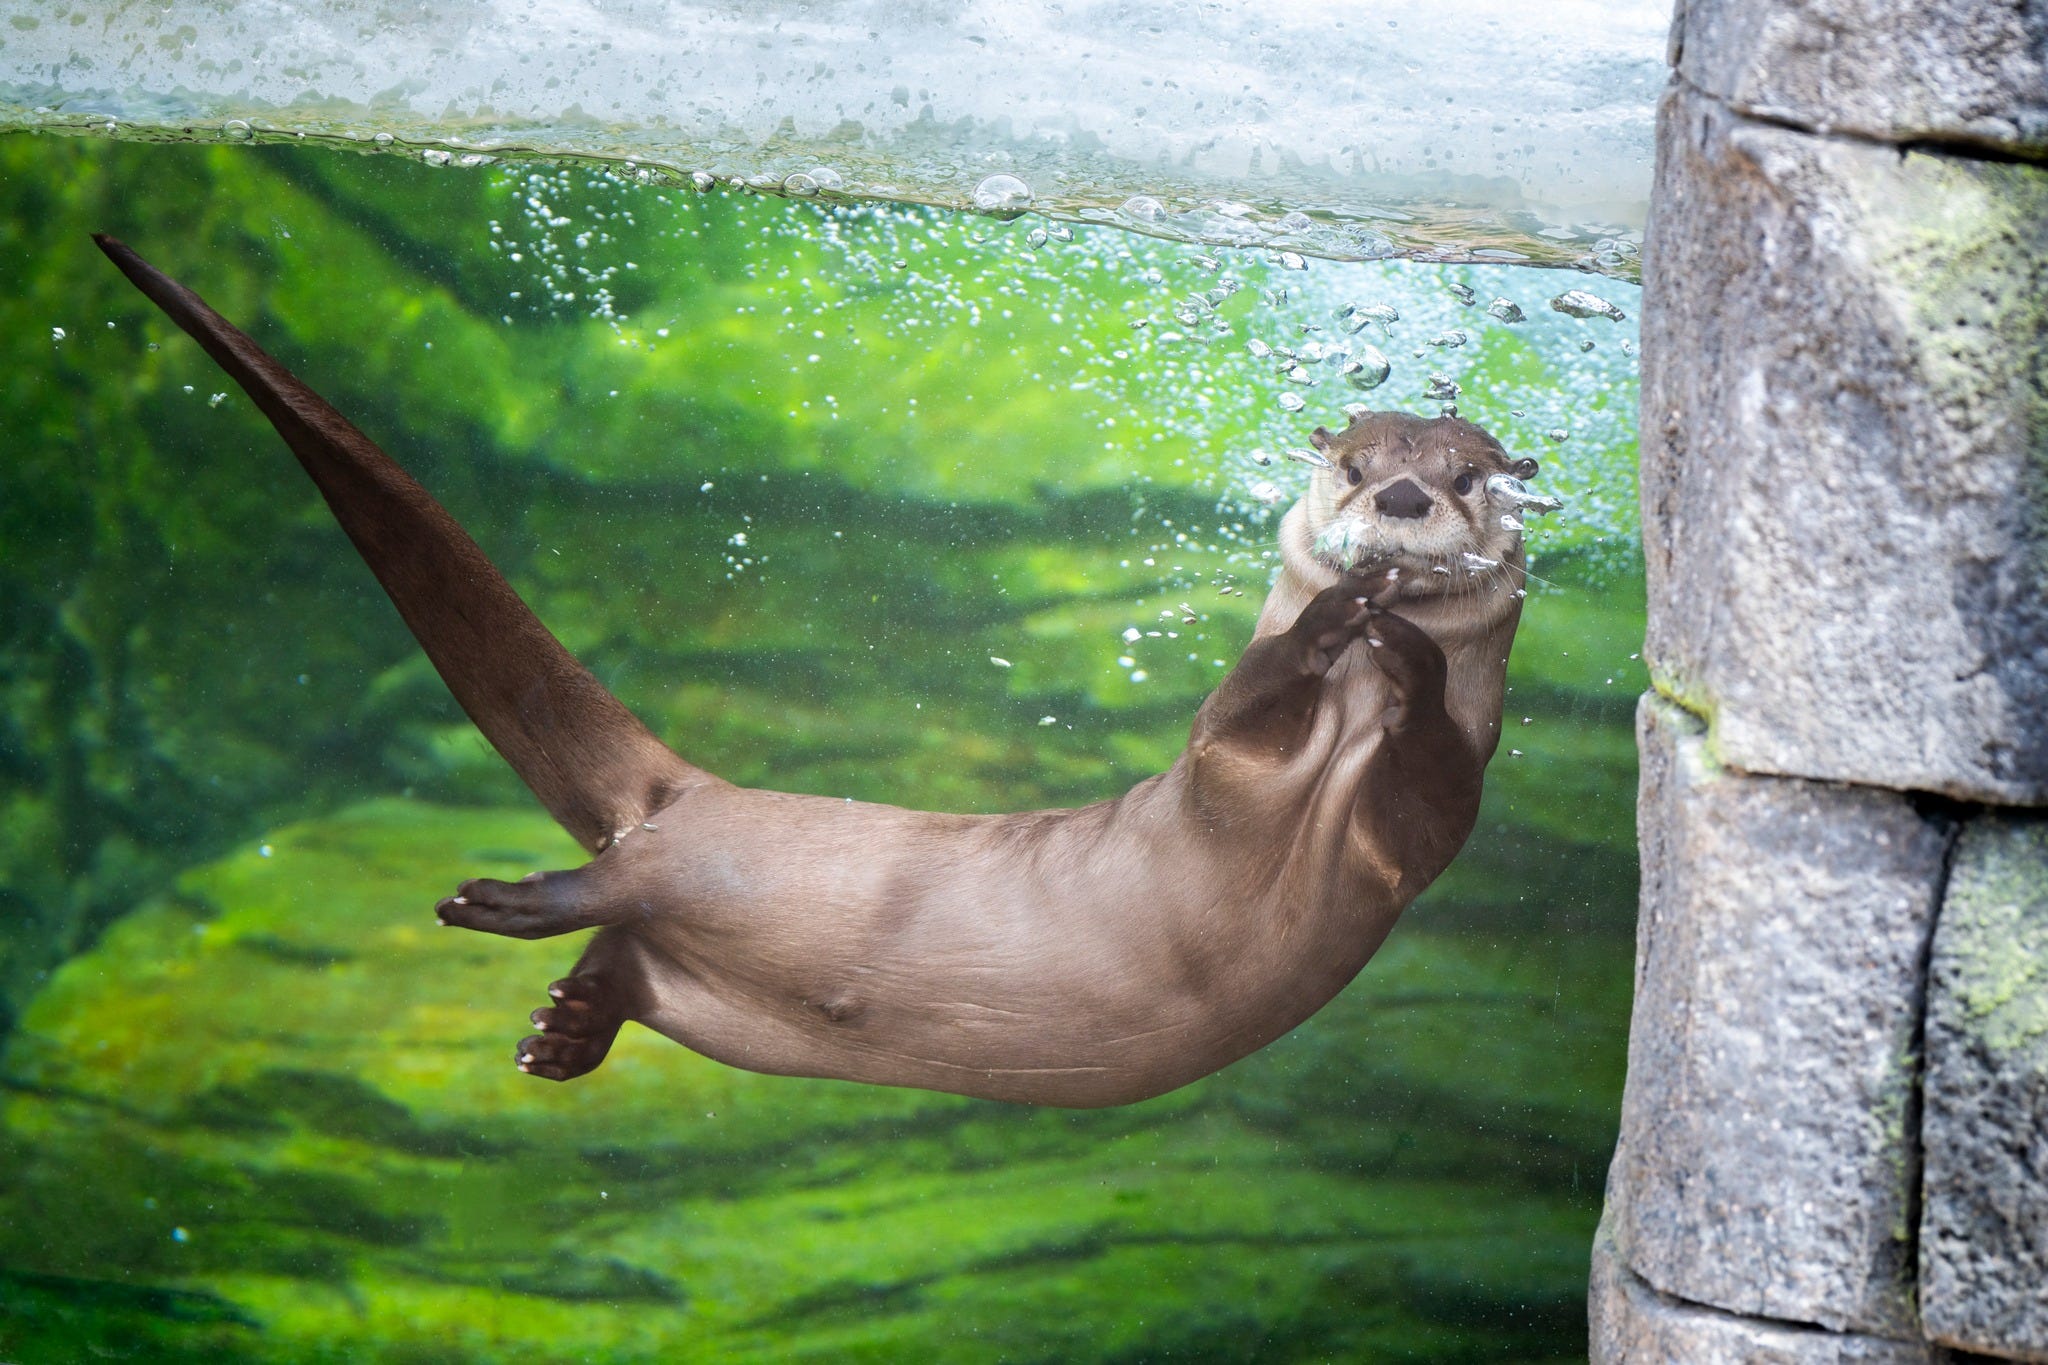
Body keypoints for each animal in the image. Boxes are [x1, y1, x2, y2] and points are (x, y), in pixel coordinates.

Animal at [94, 234, 1546, 1108]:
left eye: (1471, 475)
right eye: (1351, 464)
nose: (1404, 498)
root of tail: (701, 790)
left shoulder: (1425, 821)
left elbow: (1434, 785)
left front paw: (1408, 646)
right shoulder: (1228, 761)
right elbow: (1244, 707)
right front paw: (1349, 616)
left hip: (733, 1000)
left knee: (633, 951)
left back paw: (565, 1026)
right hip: (712, 858)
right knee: (615, 880)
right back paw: (500, 904)